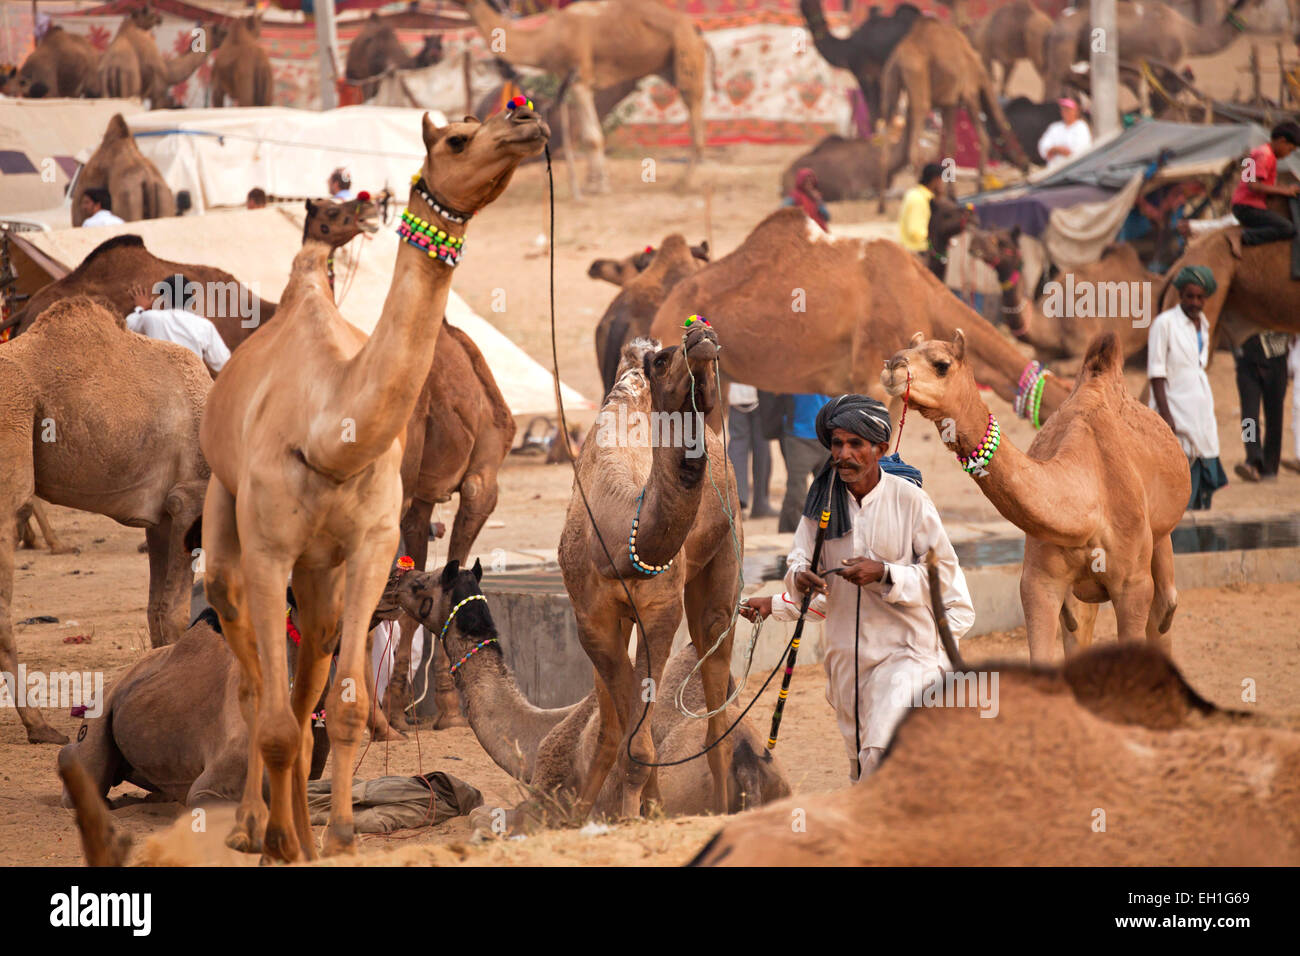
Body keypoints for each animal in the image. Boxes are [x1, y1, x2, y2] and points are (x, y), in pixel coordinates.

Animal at [198, 106, 548, 863]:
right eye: (457, 138)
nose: (526, 118)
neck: (332, 433)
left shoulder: (369, 547)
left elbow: (346, 700)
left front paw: (335, 834)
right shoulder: (270, 551)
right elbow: (271, 709)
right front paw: (278, 837)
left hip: (330, 565)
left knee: (309, 683)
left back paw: (299, 821)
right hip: (228, 517)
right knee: (253, 683)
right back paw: (250, 825)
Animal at [388, 561, 790, 827]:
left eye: (423, 583)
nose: (399, 576)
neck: (534, 740)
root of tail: (748, 762)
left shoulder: (545, 796)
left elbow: (479, 816)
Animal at [452, 0, 711, 194]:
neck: (547, 40)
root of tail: (696, 30)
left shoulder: (579, 77)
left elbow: (591, 137)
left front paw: (598, 186)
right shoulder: (579, 81)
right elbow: (591, 131)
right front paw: (594, 181)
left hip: (686, 56)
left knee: (695, 118)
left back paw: (684, 183)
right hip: (670, 66)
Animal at [558, 327, 744, 819]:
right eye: (662, 361)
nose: (702, 336)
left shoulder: (661, 610)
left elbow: (638, 735)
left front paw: (640, 812)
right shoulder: (592, 621)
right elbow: (626, 724)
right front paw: (640, 809)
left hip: (724, 555)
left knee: (714, 648)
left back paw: (722, 809)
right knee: (611, 725)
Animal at [882, 330, 1188, 662]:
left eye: (941, 364)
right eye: (907, 348)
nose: (892, 366)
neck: (1087, 501)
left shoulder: (1132, 584)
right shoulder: (1038, 581)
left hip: (1159, 540)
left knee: (1163, 610)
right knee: (1081, 622)